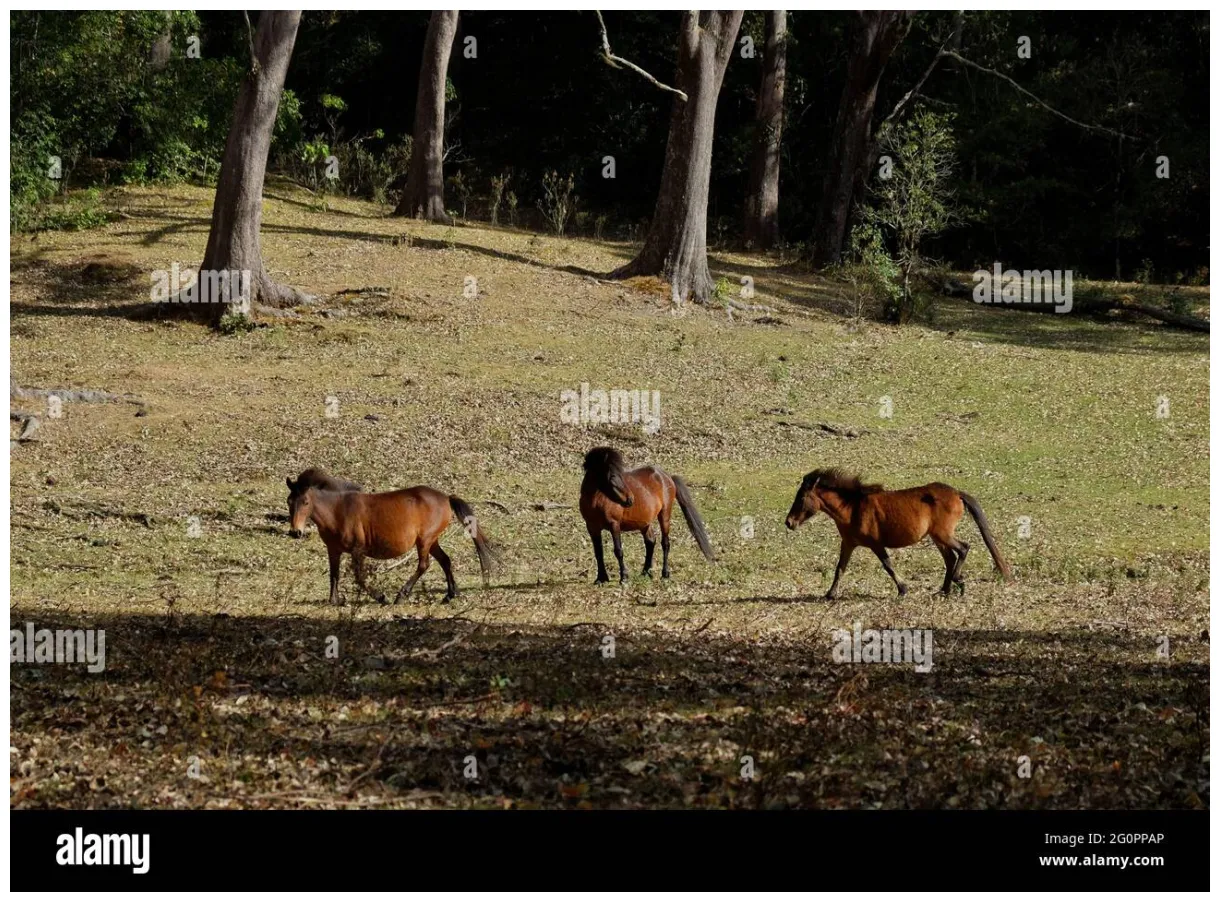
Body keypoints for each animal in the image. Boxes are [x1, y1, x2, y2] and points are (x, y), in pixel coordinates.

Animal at [287, 482, 493, 605]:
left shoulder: (357, 550)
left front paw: (381, 597)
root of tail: (446, 498)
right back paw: (449, 595)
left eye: (305, 502)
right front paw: (334, 600)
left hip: (424, 540)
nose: (295, 532)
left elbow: (359, 577)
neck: (338, 511)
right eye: (289, 501)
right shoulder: (333, 550)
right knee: (445, 561)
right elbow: (334, 575)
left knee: (424, 565)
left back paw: (402, 595)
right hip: (432, 541)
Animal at [579, 446, 715, 584]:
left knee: (665, 543)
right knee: (650, 541)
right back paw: (646, 572)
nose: (630, 499)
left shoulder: (614, 525)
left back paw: (665, 574)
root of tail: (667, 477)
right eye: (612, 476)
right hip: (644, 522)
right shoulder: (592, 527)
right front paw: (601, 578)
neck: (597, 501)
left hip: (664, 515)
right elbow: (598, 552)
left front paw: (624, 578)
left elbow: (618, 550)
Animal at [785, 468, 1012, 599]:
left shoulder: (876, 544)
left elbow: (888, 565)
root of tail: (956, 493)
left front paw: (903, 590)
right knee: (950, 558)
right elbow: (840, 568)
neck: (853, 508)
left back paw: (958, 583)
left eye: (802, 497)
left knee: (963, 548)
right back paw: (944, 591)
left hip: (943, 534)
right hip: (937, 537)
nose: (789, 523)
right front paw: (830, 594)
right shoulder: (848, 543)